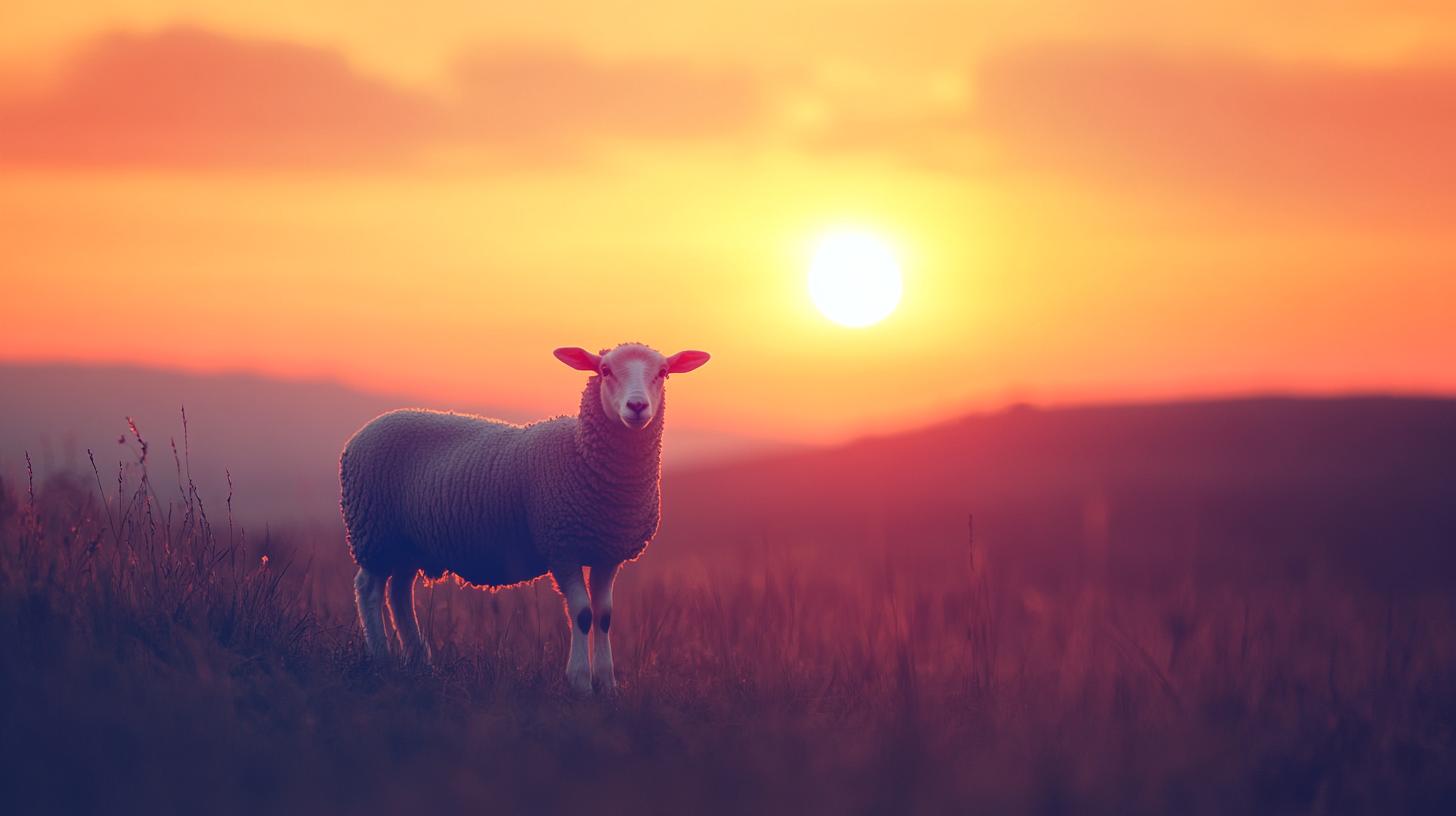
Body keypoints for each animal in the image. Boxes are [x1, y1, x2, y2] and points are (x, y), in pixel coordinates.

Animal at [339, 342, 710, 692]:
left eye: (663, 372)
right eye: (605, 370)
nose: (636, 407)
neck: (580, 452)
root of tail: (363, 431)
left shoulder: (607, 552)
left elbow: (604, 616)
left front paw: (607, 684)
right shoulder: (560, 545)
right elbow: (582, 613)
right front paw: (580, 682)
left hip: (408, 543)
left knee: (400, 592)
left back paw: (418, 662)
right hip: (374, 531)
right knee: (370, 589)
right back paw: (383, 659)